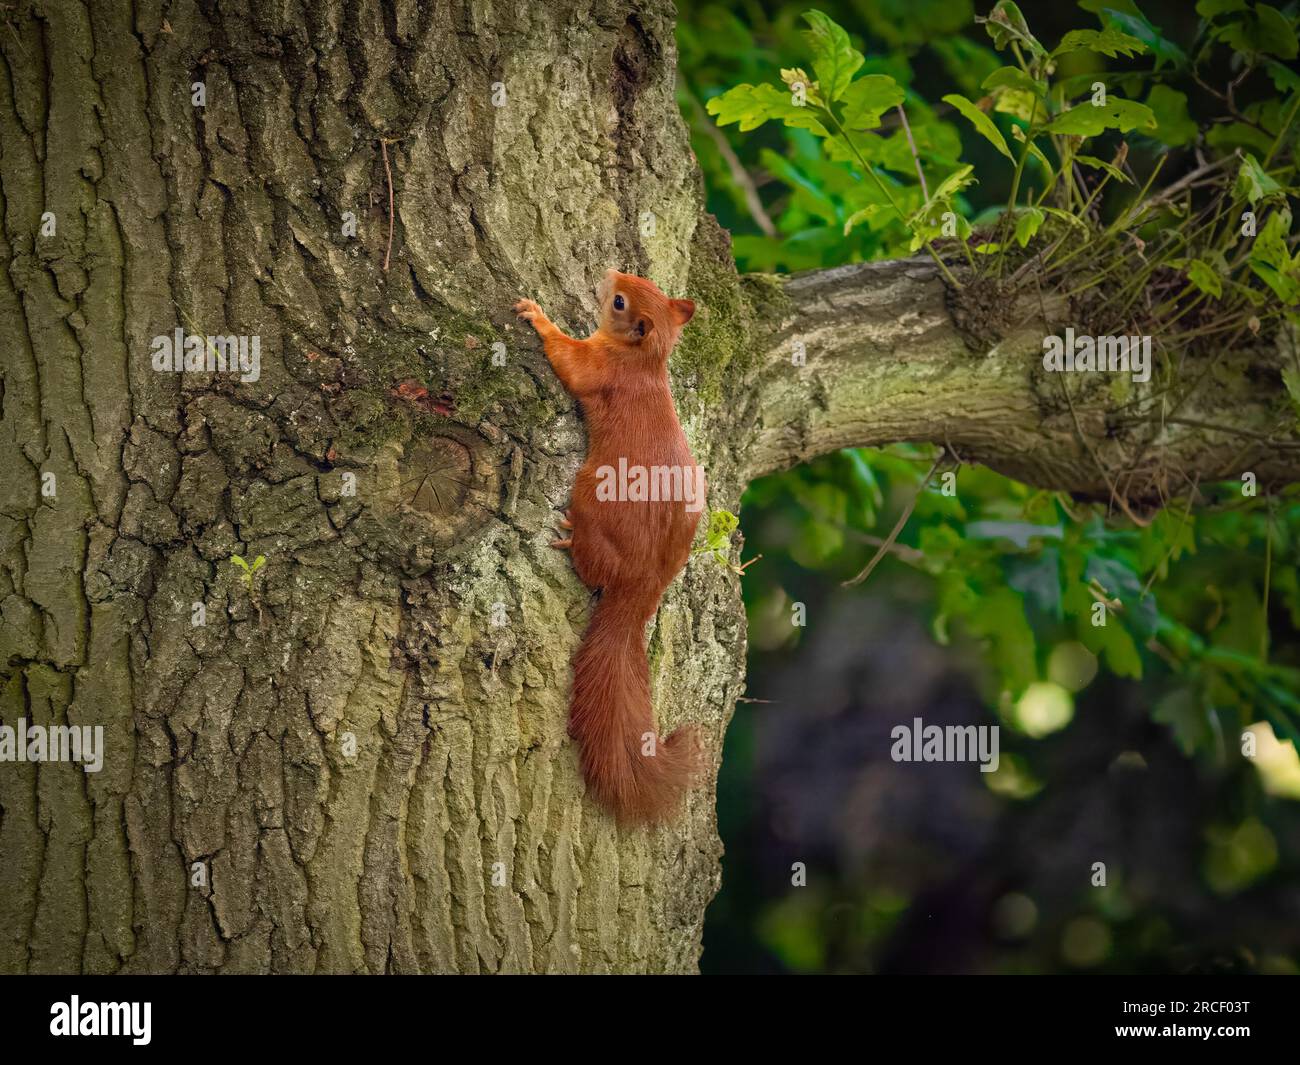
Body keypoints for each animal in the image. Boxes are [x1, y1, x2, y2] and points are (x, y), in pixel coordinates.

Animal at [515, 270, 703, 824]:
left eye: (619, 302)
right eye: (643, 284)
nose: (610, 273)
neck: (644, 360)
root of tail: (642, 586)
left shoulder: (599, 369)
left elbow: (569, 362)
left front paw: (537, 315)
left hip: (590, 496)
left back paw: (571, 538)